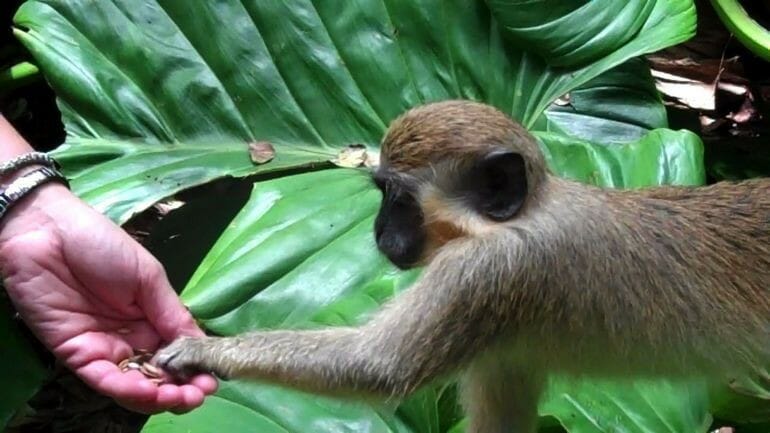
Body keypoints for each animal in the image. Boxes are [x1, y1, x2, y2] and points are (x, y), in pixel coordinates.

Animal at [156, 100, 770, 433]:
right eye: (381, 195)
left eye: (396, 198)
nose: (378, 232)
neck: (520, 215)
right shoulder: (500, 336)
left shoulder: (487, 274)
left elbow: (375, 368)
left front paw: (207, 351)